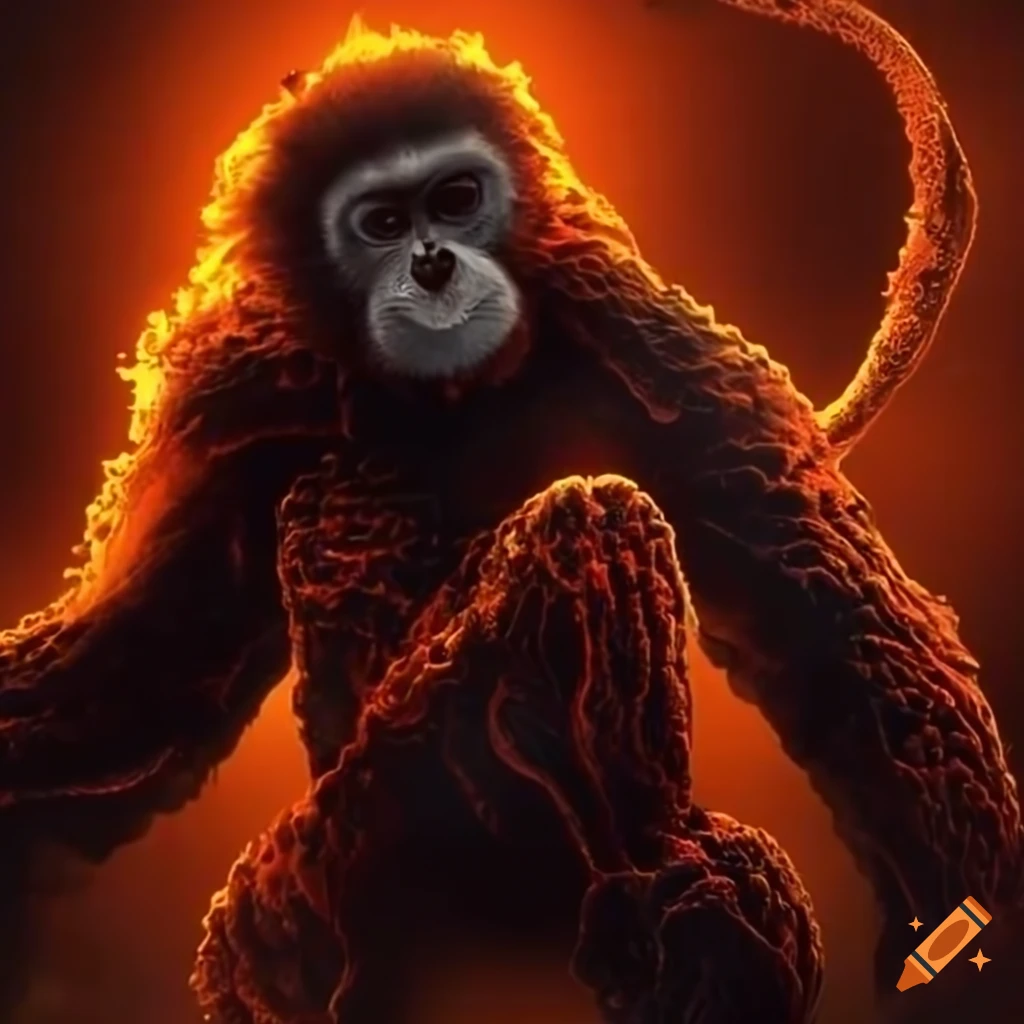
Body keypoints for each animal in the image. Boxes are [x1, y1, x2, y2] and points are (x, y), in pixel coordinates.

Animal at [0, 0, 1020, 1019]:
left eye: (456, 197)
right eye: (381, 222)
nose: (434, 264)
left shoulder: (634, 322)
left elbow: (810, 577)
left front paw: (959, 894)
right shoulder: (228, 394)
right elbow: (131, 666)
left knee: (592, 515)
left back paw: (682, 911)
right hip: (321, 857)